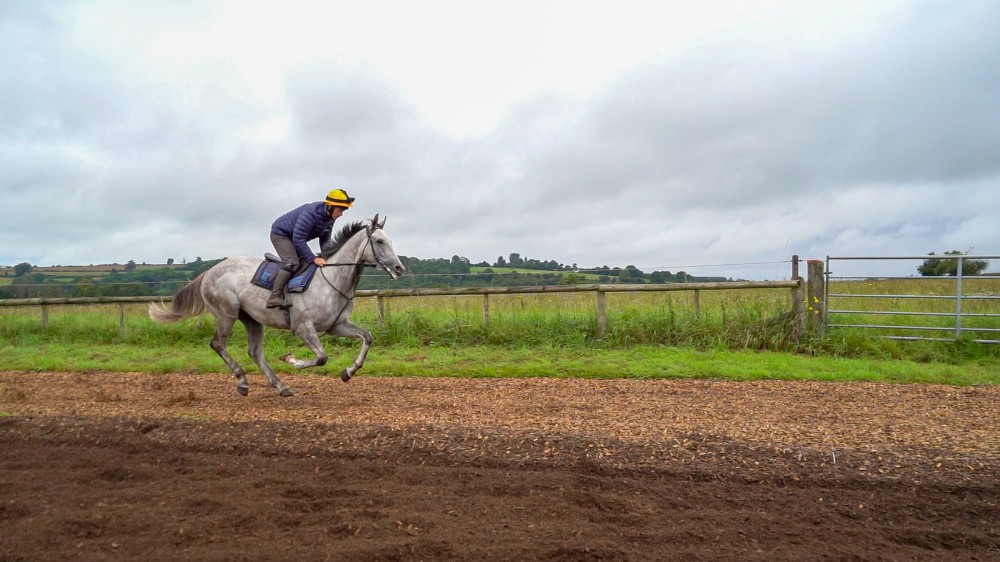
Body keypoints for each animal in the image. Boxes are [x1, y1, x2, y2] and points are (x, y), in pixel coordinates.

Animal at [149, 214, 405, 397]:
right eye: (380, 241)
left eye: (391, 241)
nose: (400, 268)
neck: (331, 279)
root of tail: (208, 272)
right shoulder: (303, 327)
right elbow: (322, 357)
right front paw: (291, 360)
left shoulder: (337, 326)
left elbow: (367, 337)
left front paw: (348, 372)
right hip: (226, 314)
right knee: (218, 344)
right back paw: (243, 381)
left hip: (251, 319)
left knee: (254, 351)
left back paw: (280, 386)